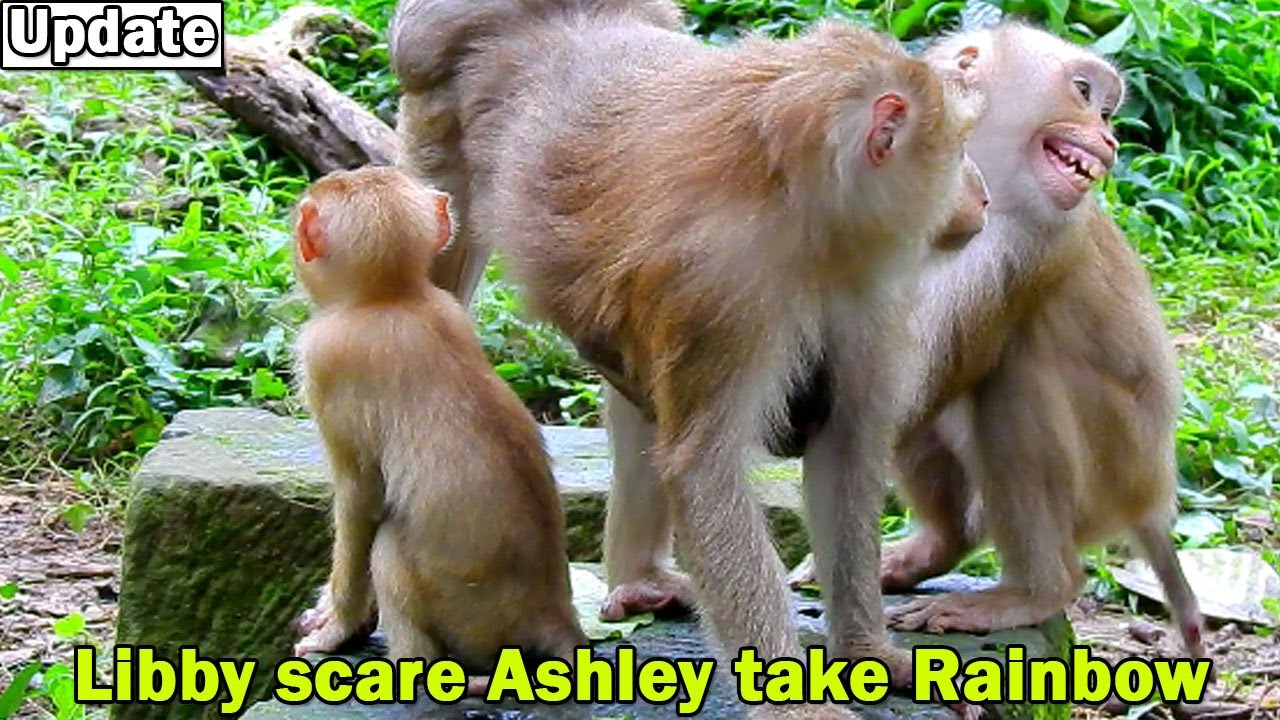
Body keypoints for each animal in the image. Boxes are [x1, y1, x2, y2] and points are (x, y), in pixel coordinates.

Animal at [289, 167, 587, 685]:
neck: (393, 296)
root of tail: (551, 613)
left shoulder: (326, 359)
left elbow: (359, 498)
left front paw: (336, 625)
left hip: (464, 608)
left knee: (386, 549)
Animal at [389, 0, 989, 705]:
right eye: (958, 147)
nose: (981, 191)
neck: (797, 207)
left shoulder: (868, 289)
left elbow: (844, 446)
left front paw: (869, 652)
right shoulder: (722, 287)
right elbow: (707, 468)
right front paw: (794, 708)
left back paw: (639, 577)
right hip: (434, 122)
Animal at [784, 23, 1206, 662]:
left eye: (1105, 110)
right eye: (1085, 93)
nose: (1108, 135)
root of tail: (1156, 497)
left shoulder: (1028, 235)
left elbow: (901, 381)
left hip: (1118, 467)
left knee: (1011, 381)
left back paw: (1035, 590)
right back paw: (938, 545)